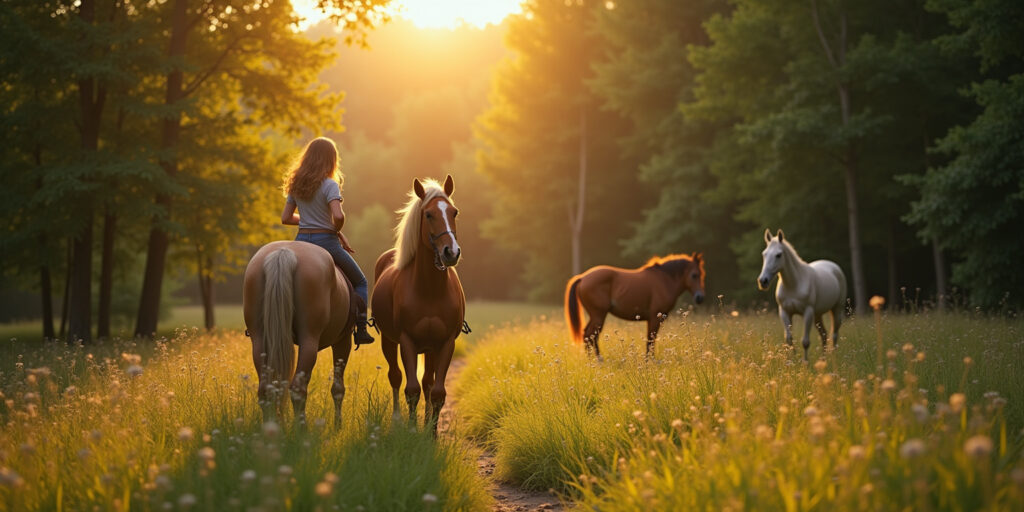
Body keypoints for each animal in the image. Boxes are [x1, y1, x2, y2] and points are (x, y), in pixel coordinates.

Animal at [242, 241, 357, 425]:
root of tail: (283, 253)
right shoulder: (343, 340)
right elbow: (338, 388)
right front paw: (338, 425)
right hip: (309, 339)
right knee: (298, 388)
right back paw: (301, 429)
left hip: (259, 339)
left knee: (266, 389)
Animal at [371, 175, 465, 436]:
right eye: (429, 214)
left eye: (454, 212)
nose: (451, 252)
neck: (430, 290)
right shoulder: (407, 341)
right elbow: (411, 389)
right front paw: (413, 432)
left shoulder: (445, 343)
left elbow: (437, 392)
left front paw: (431, 434)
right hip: (389, 341)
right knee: (395, 376)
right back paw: (397, 419)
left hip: (431, 348)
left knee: (428, 383)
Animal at [565, 253, 706, 359]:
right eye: (694, 275)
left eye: (701, 274)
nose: (700, 298)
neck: (664, 280)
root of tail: (582, 278)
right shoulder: (655, 318)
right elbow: (651, 340)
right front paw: (650, 360)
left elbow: (650, 340)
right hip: (598, 315)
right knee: (590, 336)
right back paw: (598, 360)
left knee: (588, 336)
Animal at [757, 229, 847, 361]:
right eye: (764, 254)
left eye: (778, 255)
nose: (763, 281)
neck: (794, 284)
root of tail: (833, 266)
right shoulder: (784, 312)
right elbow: (789, 339)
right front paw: (791, 361)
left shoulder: (808, 312)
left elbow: (805, 341)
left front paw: (805, 362)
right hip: (817, 315)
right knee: (824, 335)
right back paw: (823, 359)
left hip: (836, 309)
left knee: (834, 334)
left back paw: (833, 357)